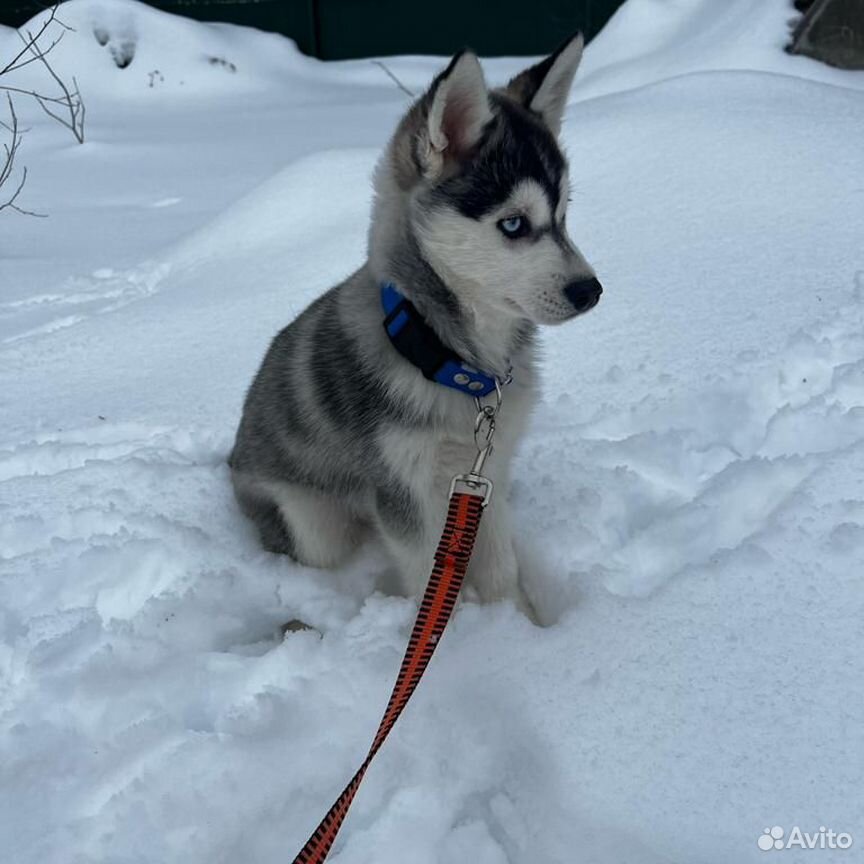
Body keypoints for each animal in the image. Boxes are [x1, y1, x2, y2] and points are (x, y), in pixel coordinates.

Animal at [233, 33, 604, 616]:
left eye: (564, 215)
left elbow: (499, 567)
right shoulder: (401, 488)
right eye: (514, 223)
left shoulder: (485, 473)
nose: (590, 290)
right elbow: (427, 569)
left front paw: (512, 622)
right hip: (312, 522)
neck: (456, 364)